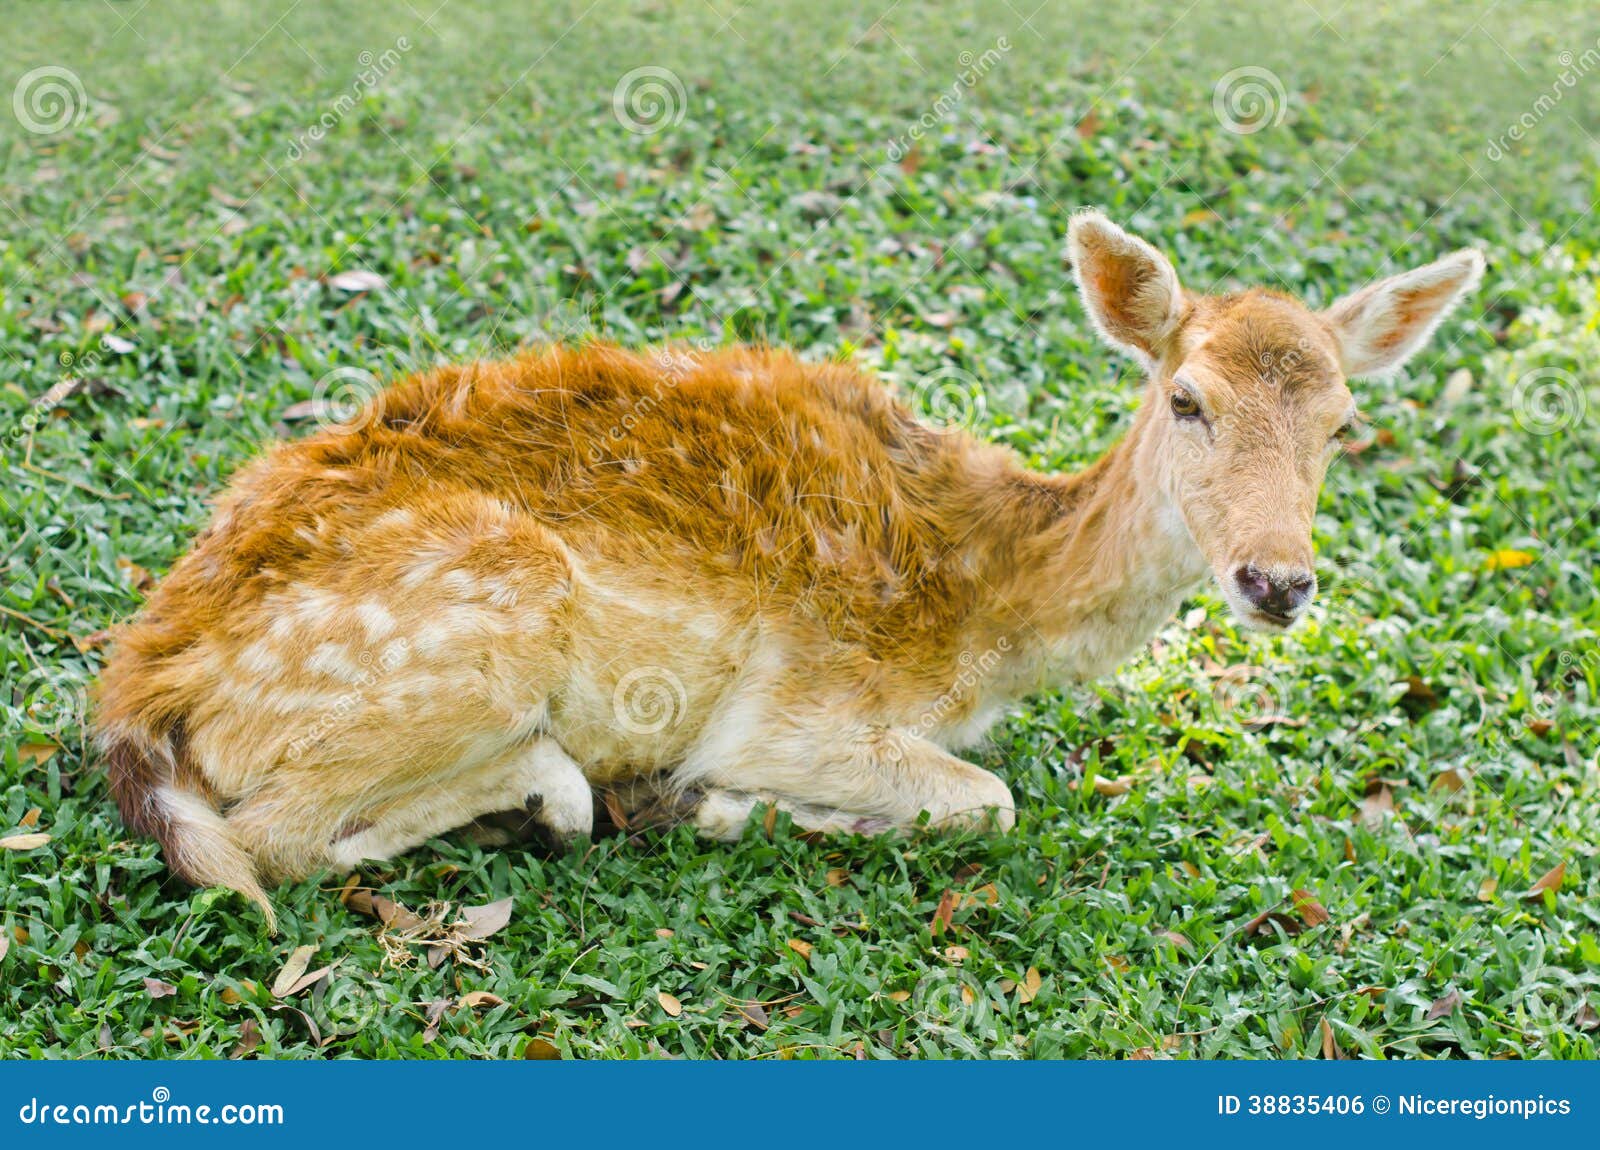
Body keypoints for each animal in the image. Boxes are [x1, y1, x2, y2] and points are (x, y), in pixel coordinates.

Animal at [92, 212, 1484, 928]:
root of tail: (139, 686)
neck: (989, 611)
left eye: (1342, 422)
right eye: (1187, 399)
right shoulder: (805, 700)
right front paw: (725, 805)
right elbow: (987, 800)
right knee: (268, 840)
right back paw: (569, 795)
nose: (1275, 580)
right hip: (478, 620)